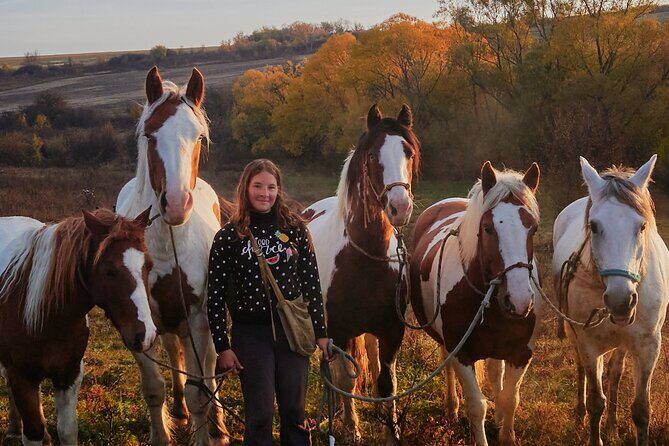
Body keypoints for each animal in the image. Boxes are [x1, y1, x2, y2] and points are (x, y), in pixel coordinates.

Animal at [0, 207, 156, 446]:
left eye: (148, 266)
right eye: (110, 271)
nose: (145, 335)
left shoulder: (70, 374)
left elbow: (67, 430)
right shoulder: (22, 378)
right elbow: (33, 431)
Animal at [116, 66, 229, 446]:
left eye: (198, 137)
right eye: (150, 135)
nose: (177, 204)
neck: (167, 247)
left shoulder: (197, 319)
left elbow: (199, 390)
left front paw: (205, 430)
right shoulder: (139, 323)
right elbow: (154, 387)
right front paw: (162, 433)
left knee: (209, 368)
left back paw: (218, 423)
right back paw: (178, 411)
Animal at [303, 104, 419, 444]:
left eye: (408, 152)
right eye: (371, 156)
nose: (399, 206)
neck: (365, 258)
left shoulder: (392, 331)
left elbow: (386, 382)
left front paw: (391, 431)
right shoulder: (338, 332)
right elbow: (344, 380)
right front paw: (352, 429)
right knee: (332, 371)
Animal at [410, 161, 541, 445]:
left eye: (533, 228)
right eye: (488, 227)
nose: (519, 300)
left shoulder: (521, 353)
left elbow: (509, 399)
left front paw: (506, 431)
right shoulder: (461, 353)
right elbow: (477, 406)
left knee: (495, 373)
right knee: (447, 365)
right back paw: (451, 407)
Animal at [552, 155, 668, 446]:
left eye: (642, 226)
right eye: (594, 226)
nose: (620, 300)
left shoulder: (649, 347)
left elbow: (641, 409)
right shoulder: (589, 343)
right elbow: (596, 402)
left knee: (615, 374)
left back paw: (613, 426)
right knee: (582, 369)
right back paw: (579, 415)